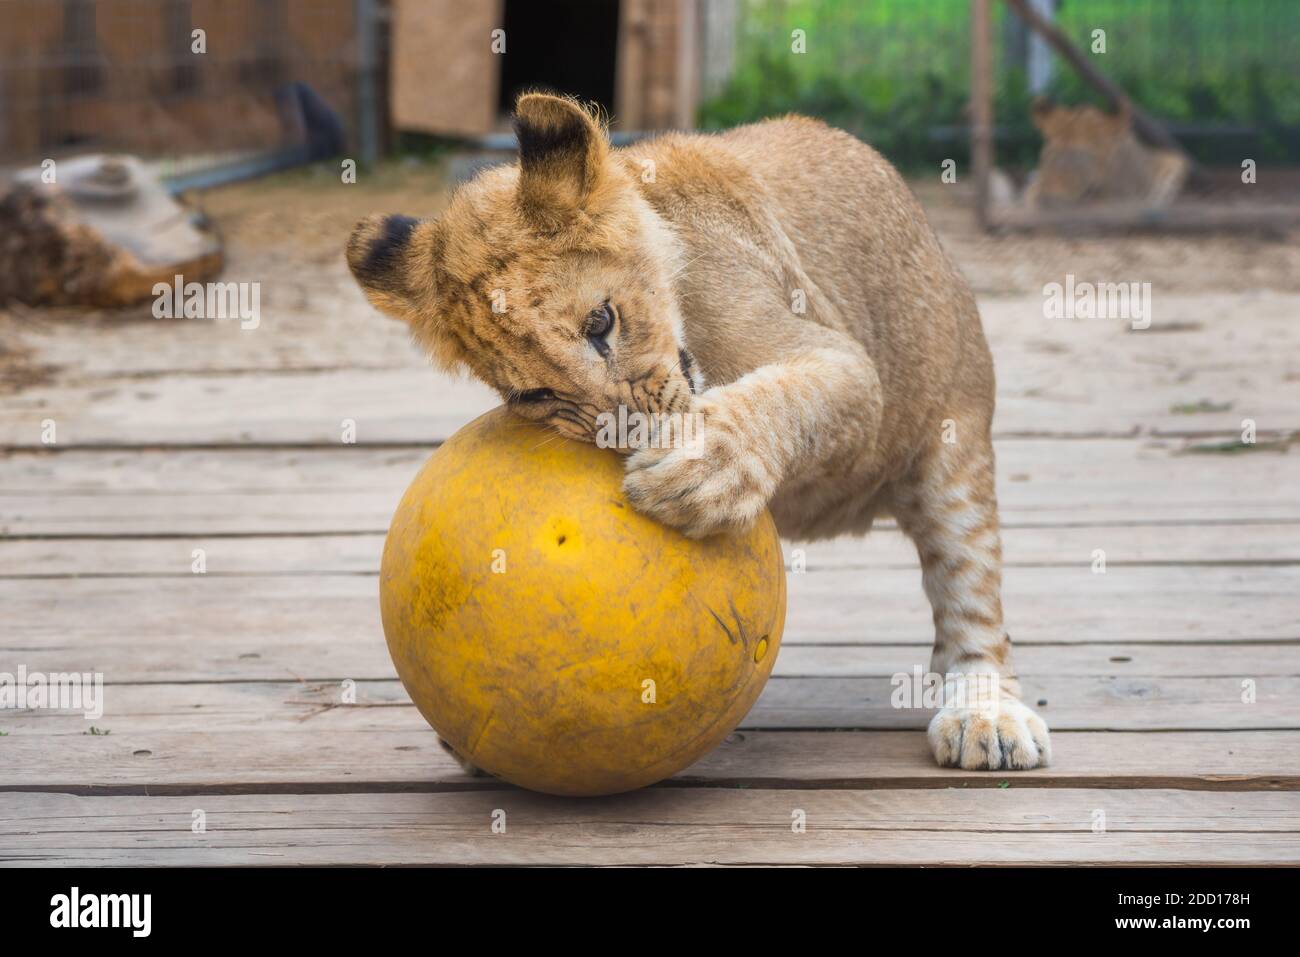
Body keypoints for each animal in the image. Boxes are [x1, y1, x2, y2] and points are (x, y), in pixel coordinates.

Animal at [348, 92, 1051, 772]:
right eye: (534, 395)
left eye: (601, 322)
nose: (627, 436)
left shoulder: (850, 366)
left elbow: (785, 398)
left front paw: (703, 465)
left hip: (952, 448)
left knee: (972, 600)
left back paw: (987, 716)